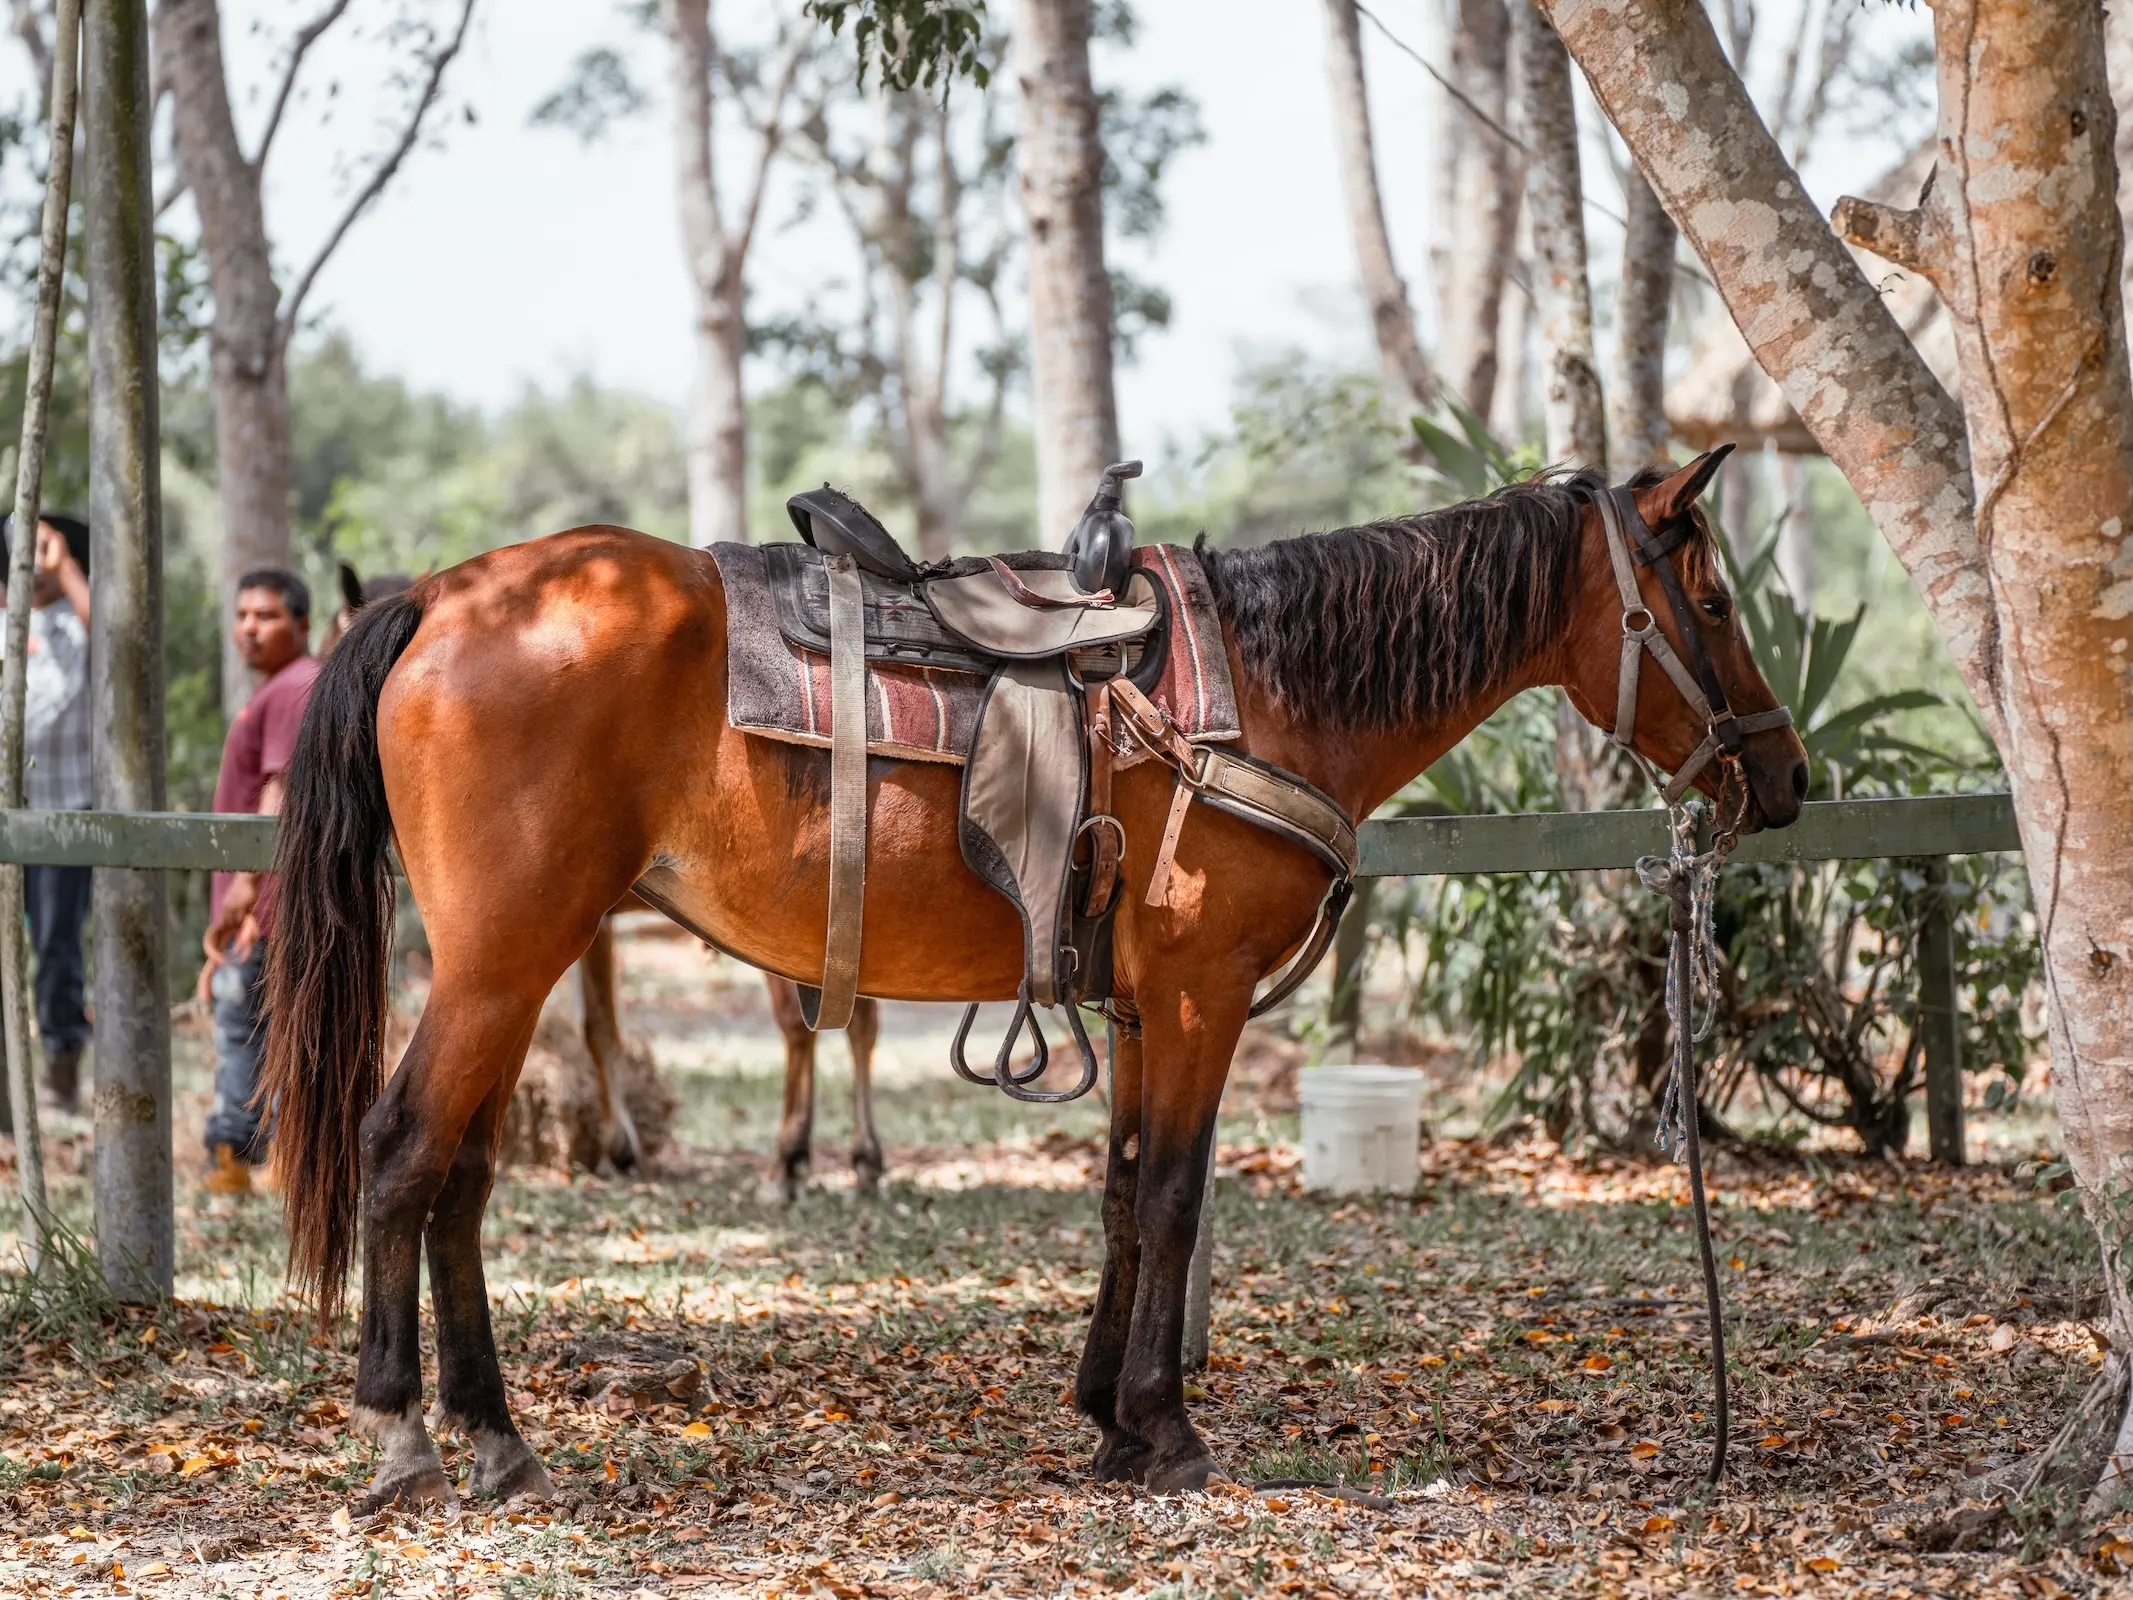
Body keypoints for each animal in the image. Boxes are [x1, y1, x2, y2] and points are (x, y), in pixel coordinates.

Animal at [260, 453, 1806, 1510]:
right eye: (1714, 598)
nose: (1785, 778)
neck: (1268, 690)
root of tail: (439, 593)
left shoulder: (1135, 1002)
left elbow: (1122, 1196)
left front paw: (1107, 1414)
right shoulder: (1198, 996)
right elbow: (1173, 1195)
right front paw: (1166, 1428)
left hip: (520, 966)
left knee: (461, 1179)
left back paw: (497, 1434)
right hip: (500, 962)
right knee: (401, 1150)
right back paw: (403, 1426)